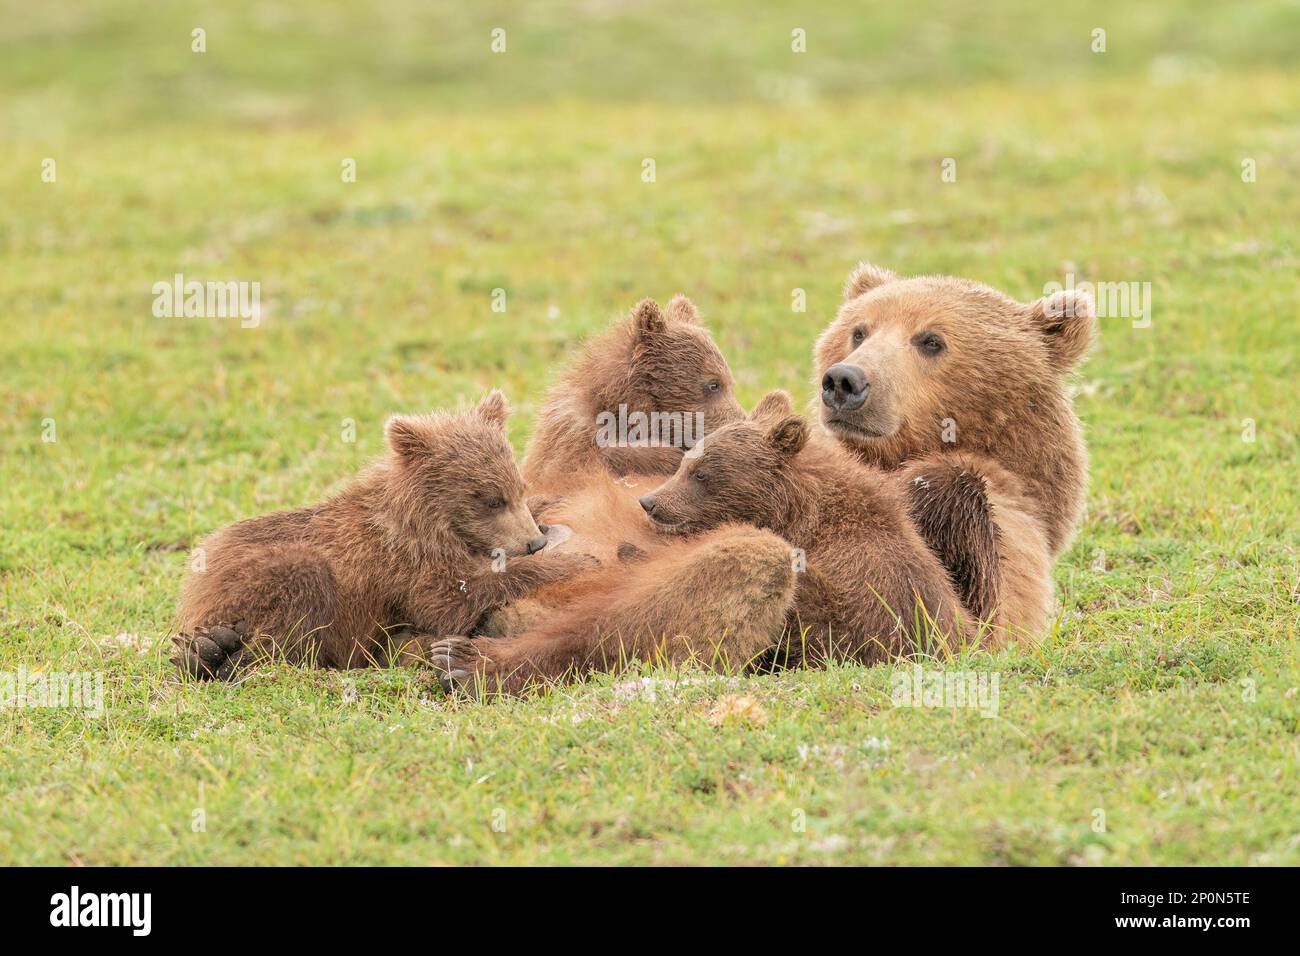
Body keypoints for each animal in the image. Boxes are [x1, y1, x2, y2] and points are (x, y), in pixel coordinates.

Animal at [171, 391, 594, 680]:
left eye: (519, 488)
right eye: (491, 499)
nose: (534, 542)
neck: (433, 522)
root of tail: (193, 586)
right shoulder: (403, 563)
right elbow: (448, 600)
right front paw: (572, 559)